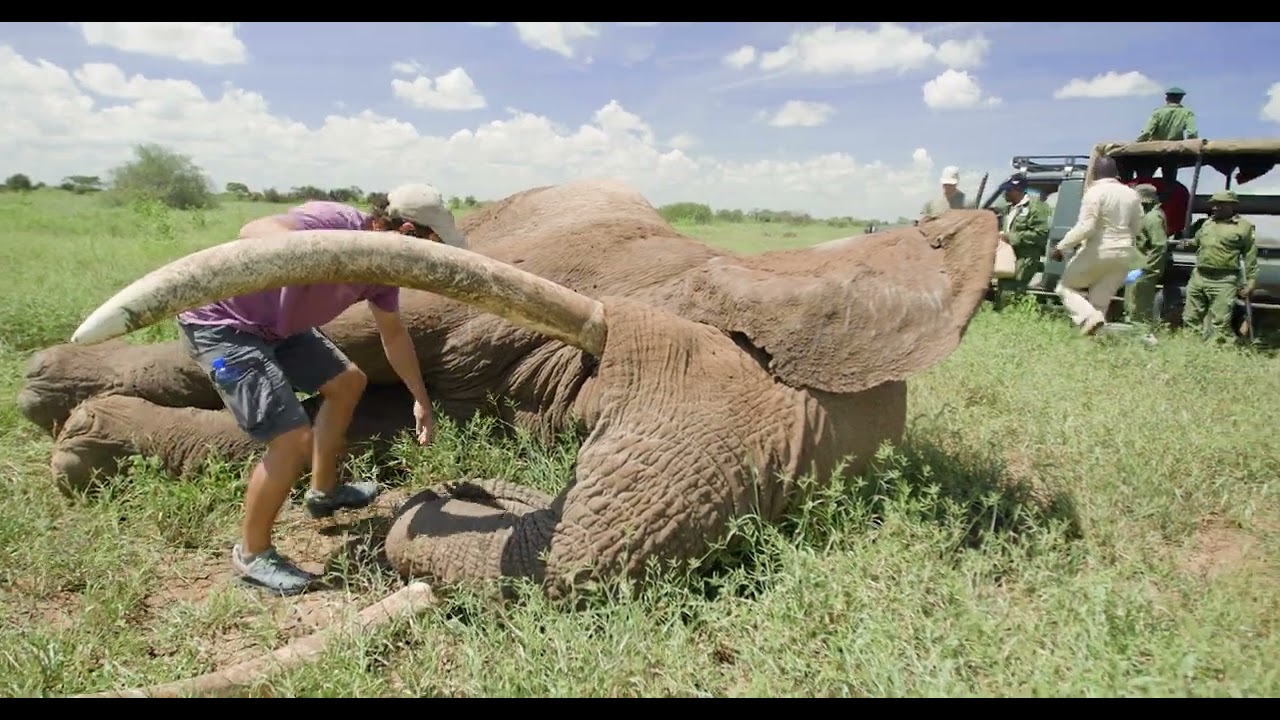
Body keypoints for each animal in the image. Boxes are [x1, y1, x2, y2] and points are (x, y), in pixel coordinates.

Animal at [19, 178, 999, 601]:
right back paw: (47, 389)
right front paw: (61, 411)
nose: (464, 489)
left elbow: (368, 412)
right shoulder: (539, 269)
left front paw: (89, 441)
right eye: (738, 348)